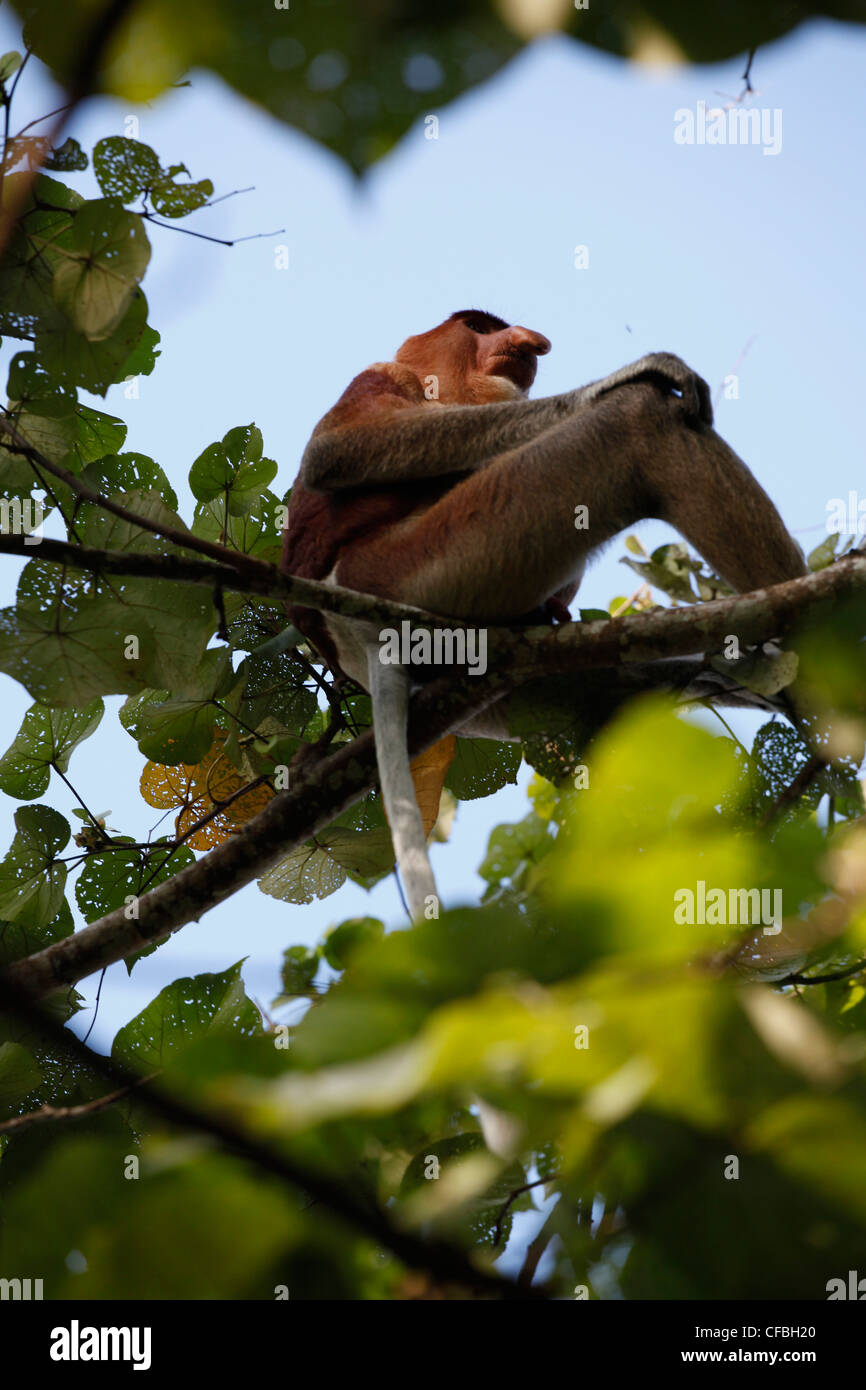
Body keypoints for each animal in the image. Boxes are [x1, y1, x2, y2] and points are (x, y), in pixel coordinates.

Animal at [281, 310, 806, 920]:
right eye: (481, 326)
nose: (530, 343)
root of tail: (352, 637)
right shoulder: (383, 376)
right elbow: (338, 452)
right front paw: (627, 377)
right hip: (425, 563)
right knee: (637, 422)